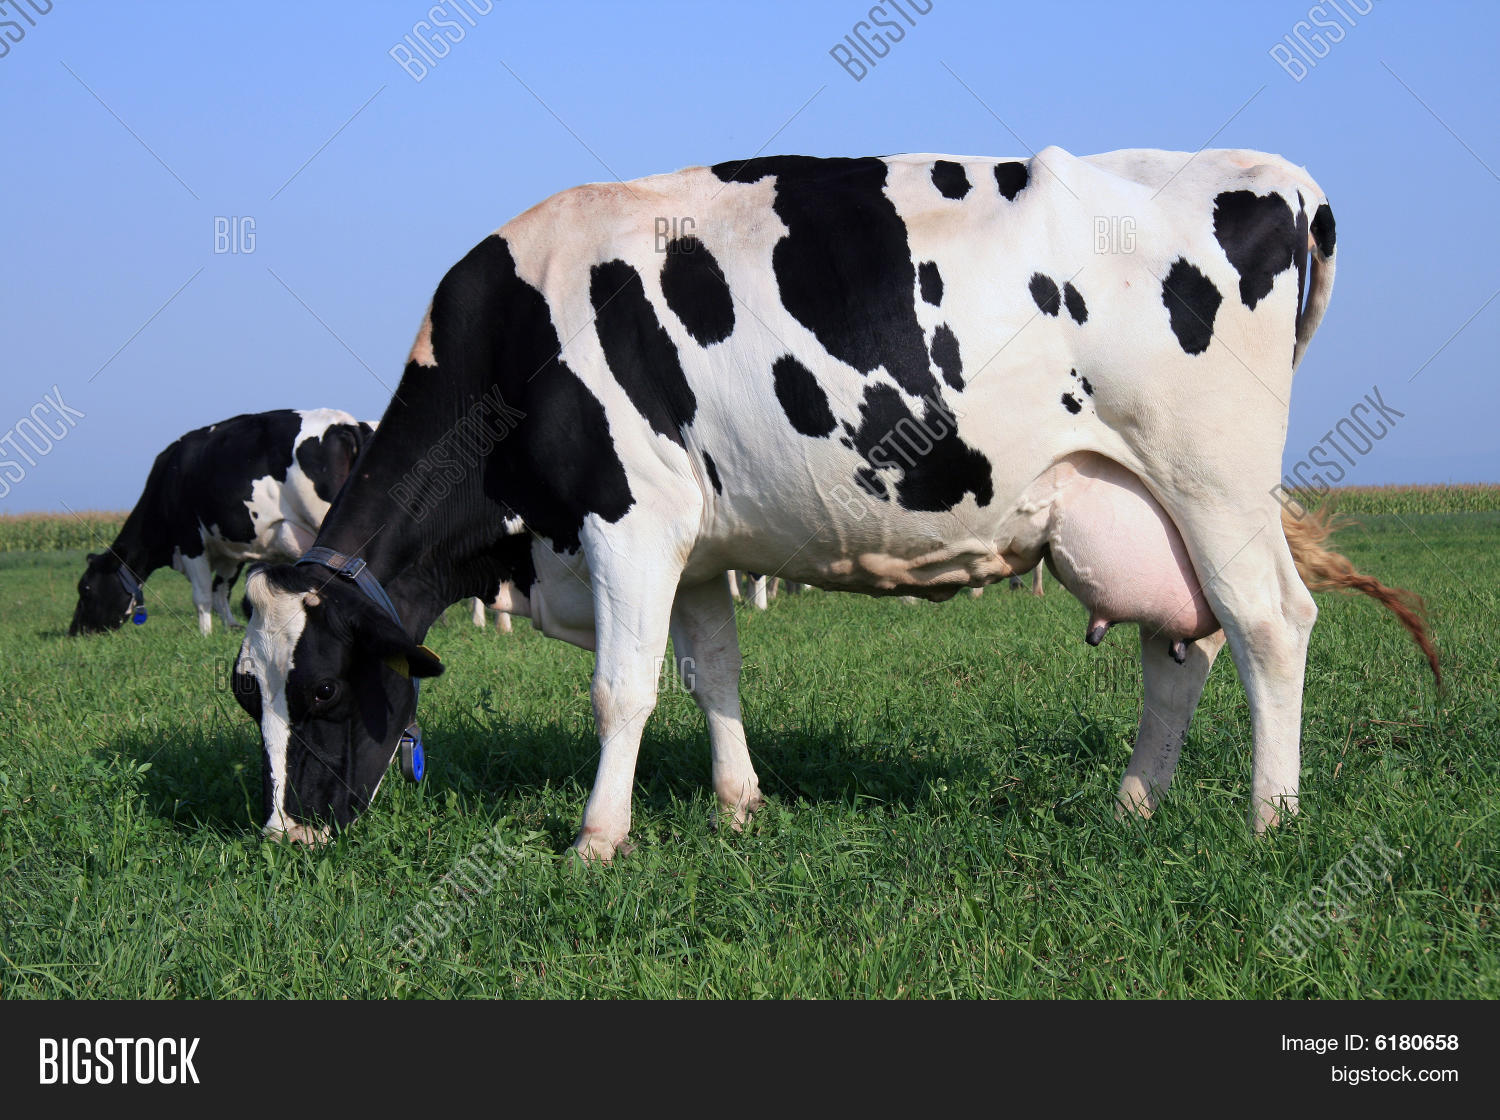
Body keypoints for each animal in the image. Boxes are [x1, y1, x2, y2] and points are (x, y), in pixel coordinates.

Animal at [70, 409, 374, 636]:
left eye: (85, 589)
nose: (75, 632)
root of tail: (344, 422)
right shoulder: (232, 547)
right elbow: (222, 590)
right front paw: (230, 626)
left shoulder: (191, 540)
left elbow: (203, 594)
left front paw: (204, 634)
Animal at [232, 148, 1439, 856]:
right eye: (250, 695)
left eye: (327, 690)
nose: (287, 835)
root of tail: (1272, 173)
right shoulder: (699, 543)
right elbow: (711, 673)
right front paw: (738, 805)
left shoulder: (631, 519)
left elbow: (622, 692)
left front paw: (596, 840)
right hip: (1137, 503)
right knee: (1179, 649)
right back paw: (1134, 802)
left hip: (1212, 476)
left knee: (1271, 624)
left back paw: (1271, 818)